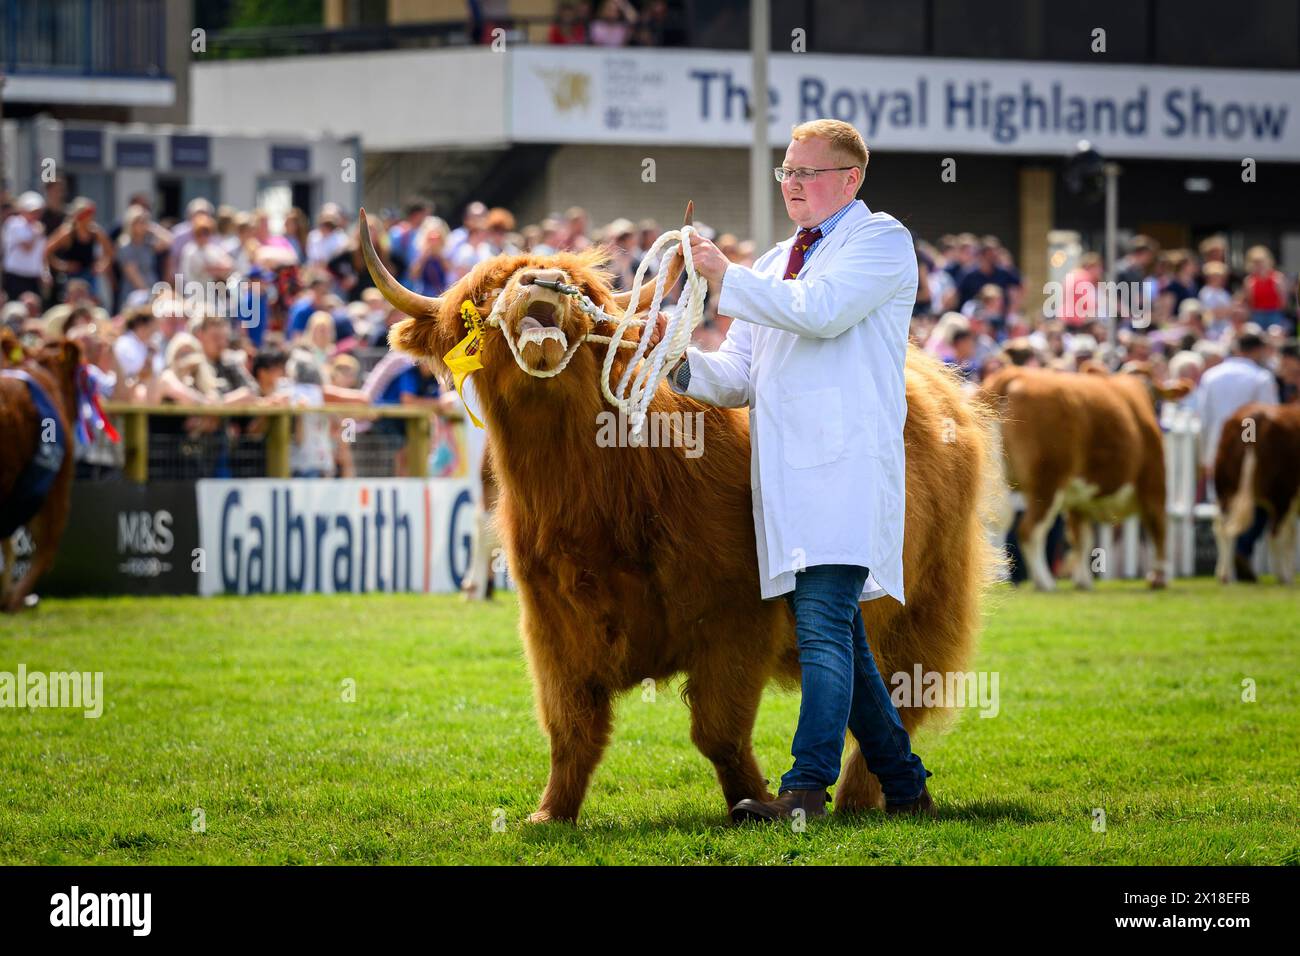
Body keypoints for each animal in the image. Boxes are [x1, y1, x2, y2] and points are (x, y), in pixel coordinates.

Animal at [358, 206, 1003, 823]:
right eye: (486, 292)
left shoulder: (736, 619)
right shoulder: (551, 625)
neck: (598, 499)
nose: (541, 283)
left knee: (898, 693)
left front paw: (753, 803)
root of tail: (940, 383)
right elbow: (571, 729)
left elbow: (718, 731)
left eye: (580, 289)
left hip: (926, 604)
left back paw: (860, 799)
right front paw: (549, 814)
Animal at [979, 364, 1190, 591]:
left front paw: (1083, 580)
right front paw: (1160, 578)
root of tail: (1012, 373)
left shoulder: (1078, 501)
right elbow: (1159, 529)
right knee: (1029, 530)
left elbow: (1081, 538)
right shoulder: (1154, 484)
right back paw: (1044, 582)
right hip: (1047, 481)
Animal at [1213, 402, 1300, 585]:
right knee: (1275, 534)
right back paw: (1285, 578)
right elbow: (1289, 537)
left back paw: (1226, 575)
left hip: (1226, 489)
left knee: (1222, 528)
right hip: (1281, 494)